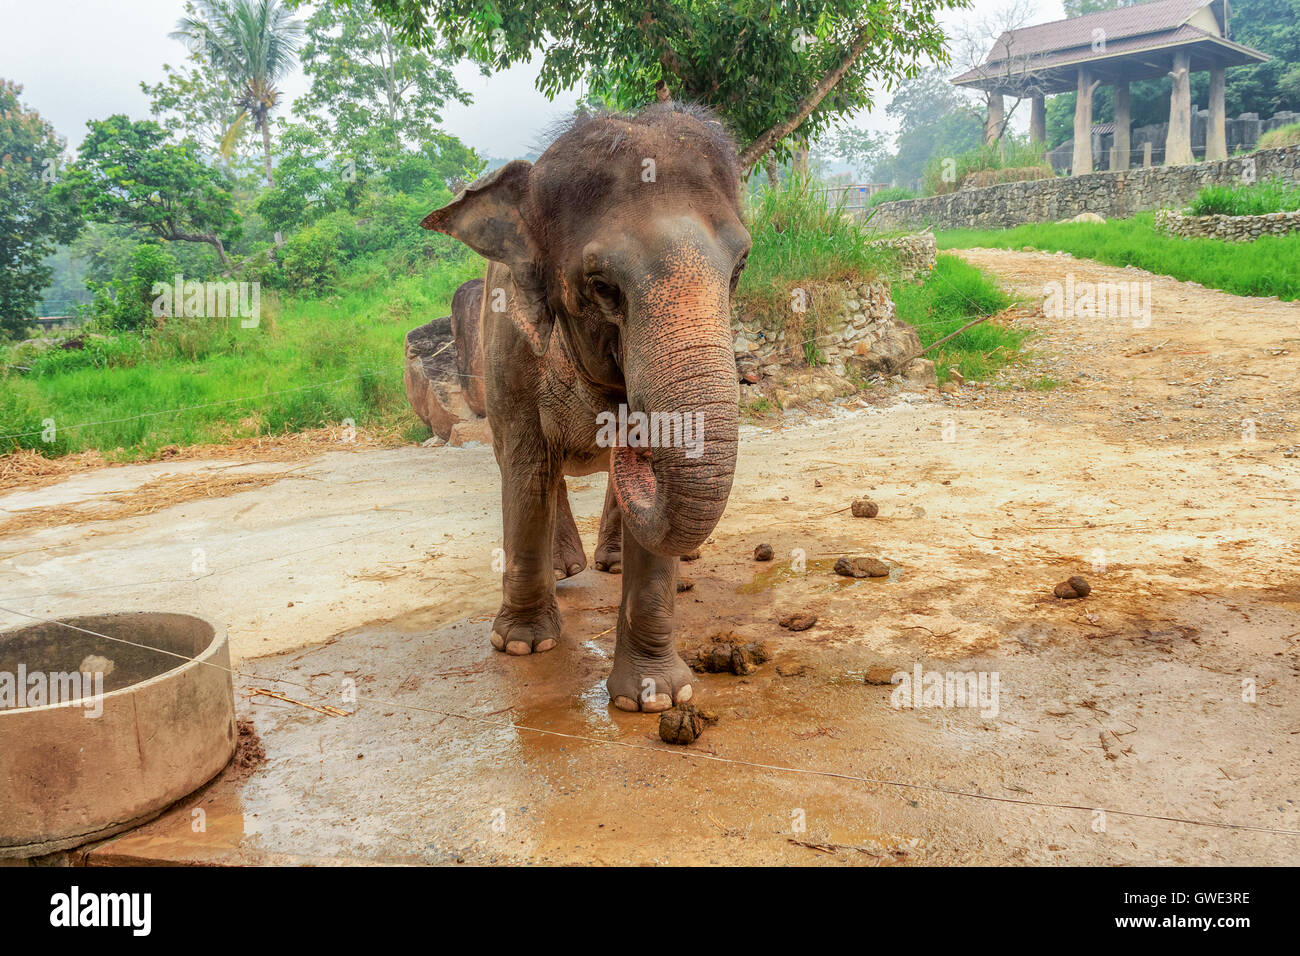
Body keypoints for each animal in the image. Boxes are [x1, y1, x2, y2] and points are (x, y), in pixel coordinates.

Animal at [422, 102, 749, 712]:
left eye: (739, 267)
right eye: (601, 285)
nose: (632, 438)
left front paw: (654, 699)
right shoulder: (508, 344)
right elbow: (527, 465)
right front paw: (523, 646)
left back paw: (619, 564)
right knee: (533, 472)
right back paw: (564, 569)